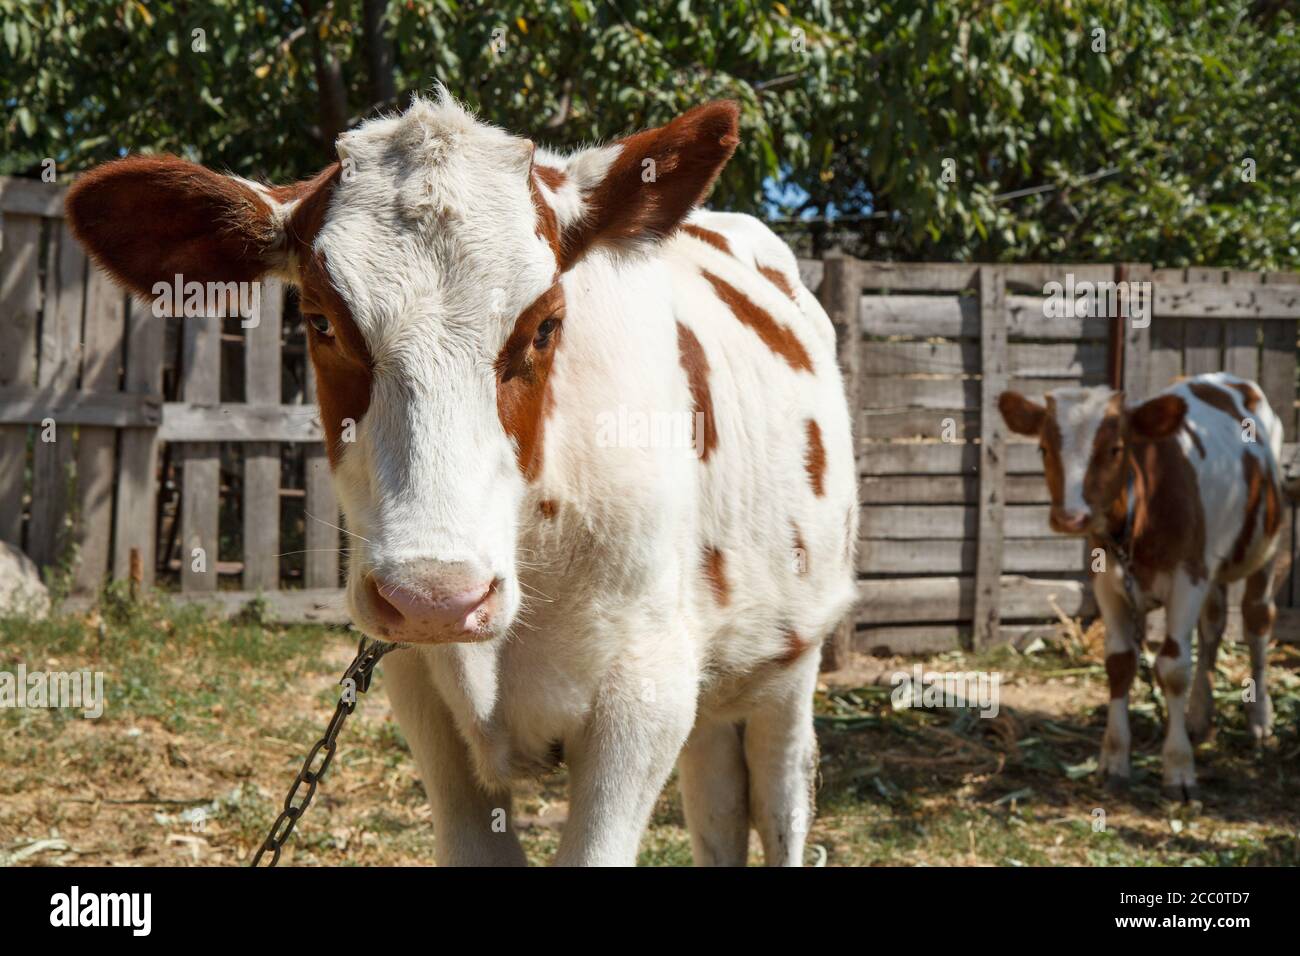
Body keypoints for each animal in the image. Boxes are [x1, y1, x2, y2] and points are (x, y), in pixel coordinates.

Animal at [64, 91, 858, 865]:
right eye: (321, 322)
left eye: (545, 325)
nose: (436, 598)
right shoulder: (424, 693)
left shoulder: (644, 692)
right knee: (717, 806)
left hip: (791, 663)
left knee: (777, 804)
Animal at [999, 372, 1295, 800]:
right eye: (1043, 447)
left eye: (1115, 448)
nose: (1070, 518)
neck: (1140, 511)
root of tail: (1226, 379)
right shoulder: (1107, 584)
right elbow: (1120, 663)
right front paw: (1114, 762)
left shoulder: (1188, 578)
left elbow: (1173, 668)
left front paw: (1179, 768)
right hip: (1212, 564)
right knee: (1213, 626)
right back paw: (1199, 714)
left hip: (1264, 549)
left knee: (1256, 622)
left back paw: (1259, 718)